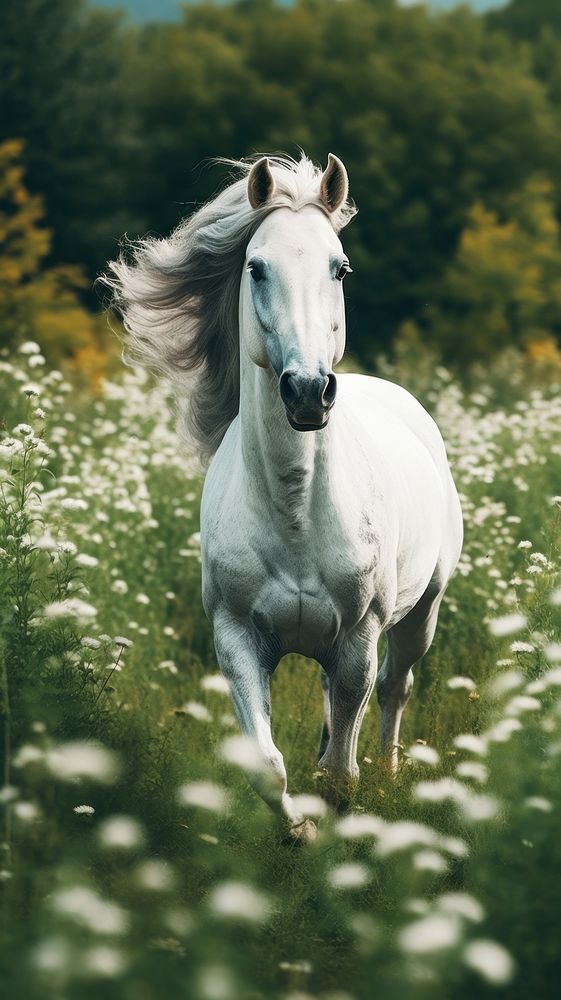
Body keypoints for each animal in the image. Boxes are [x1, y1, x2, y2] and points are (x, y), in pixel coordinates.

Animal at [104, 153, 463, 843]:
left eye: (339, 267)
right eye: (256, 267)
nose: (307, 391)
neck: (297, 513)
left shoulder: (359, 639)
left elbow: (341, 771)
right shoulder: (237, 640)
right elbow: (269, 766)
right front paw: (298, 833)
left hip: (420, 617)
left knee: (395, 690)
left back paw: (389, 773)